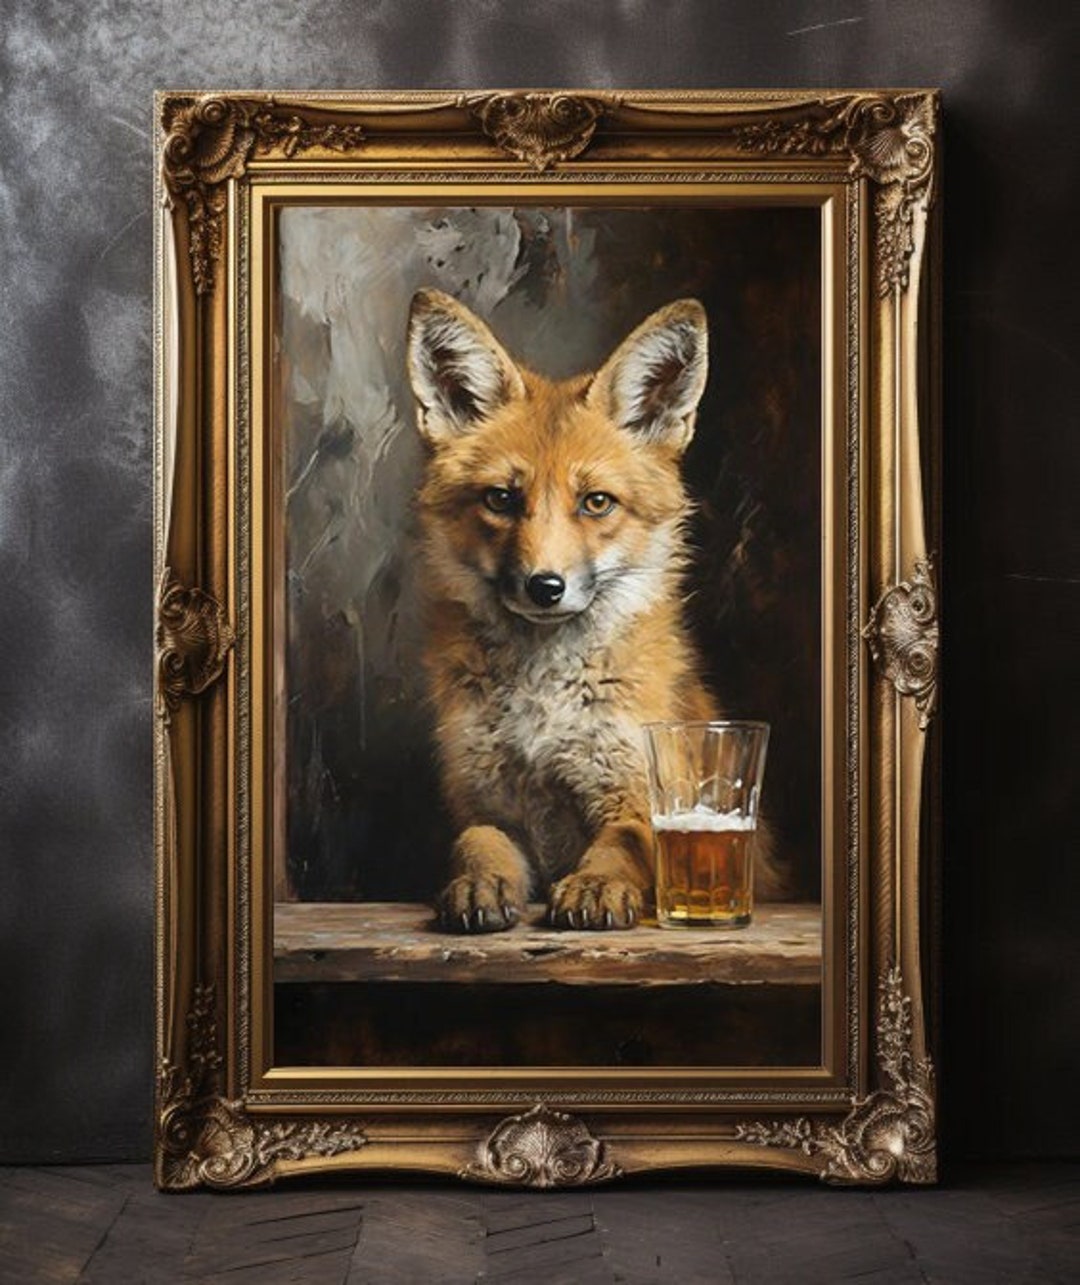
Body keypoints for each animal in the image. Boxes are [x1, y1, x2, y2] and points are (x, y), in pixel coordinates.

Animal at [407, 288, 780, 933]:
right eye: (501, 499)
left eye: (596, 502)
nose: (545, 586)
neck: (544, 698)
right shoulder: (487, 804)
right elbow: (477, 842)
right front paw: (478, 883)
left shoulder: (635, 791)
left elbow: (622, 845)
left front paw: (596, 886)